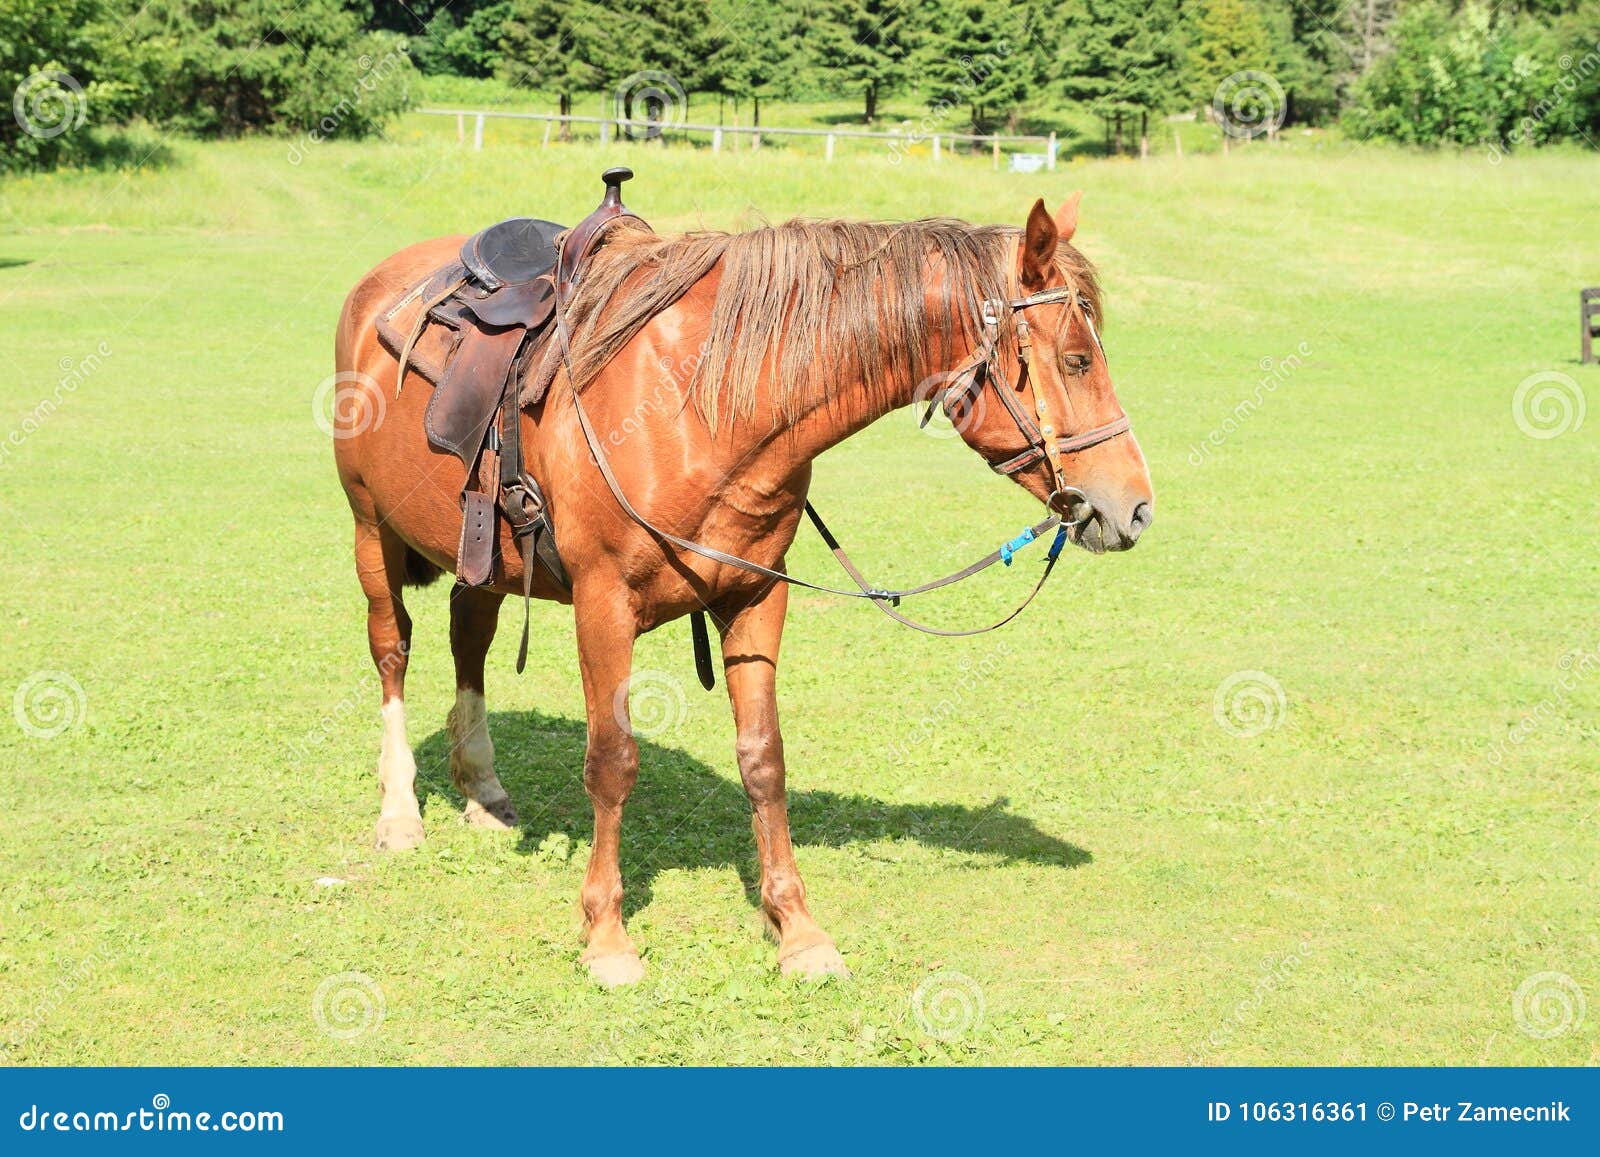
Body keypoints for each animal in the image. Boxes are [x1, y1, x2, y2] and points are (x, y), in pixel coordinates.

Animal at [331, 191, 1153, 985]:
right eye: (1077, 359)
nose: (1136, 507)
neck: (701, 403)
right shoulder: (604, 604)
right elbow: (612, 762)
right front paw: (606, 936)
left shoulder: (756, 598)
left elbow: (764, 760)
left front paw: (797, 929)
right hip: (371, 530)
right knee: (393, 649)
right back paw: (400, 810)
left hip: (485, 554)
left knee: (468, 634)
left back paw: (482, 790)